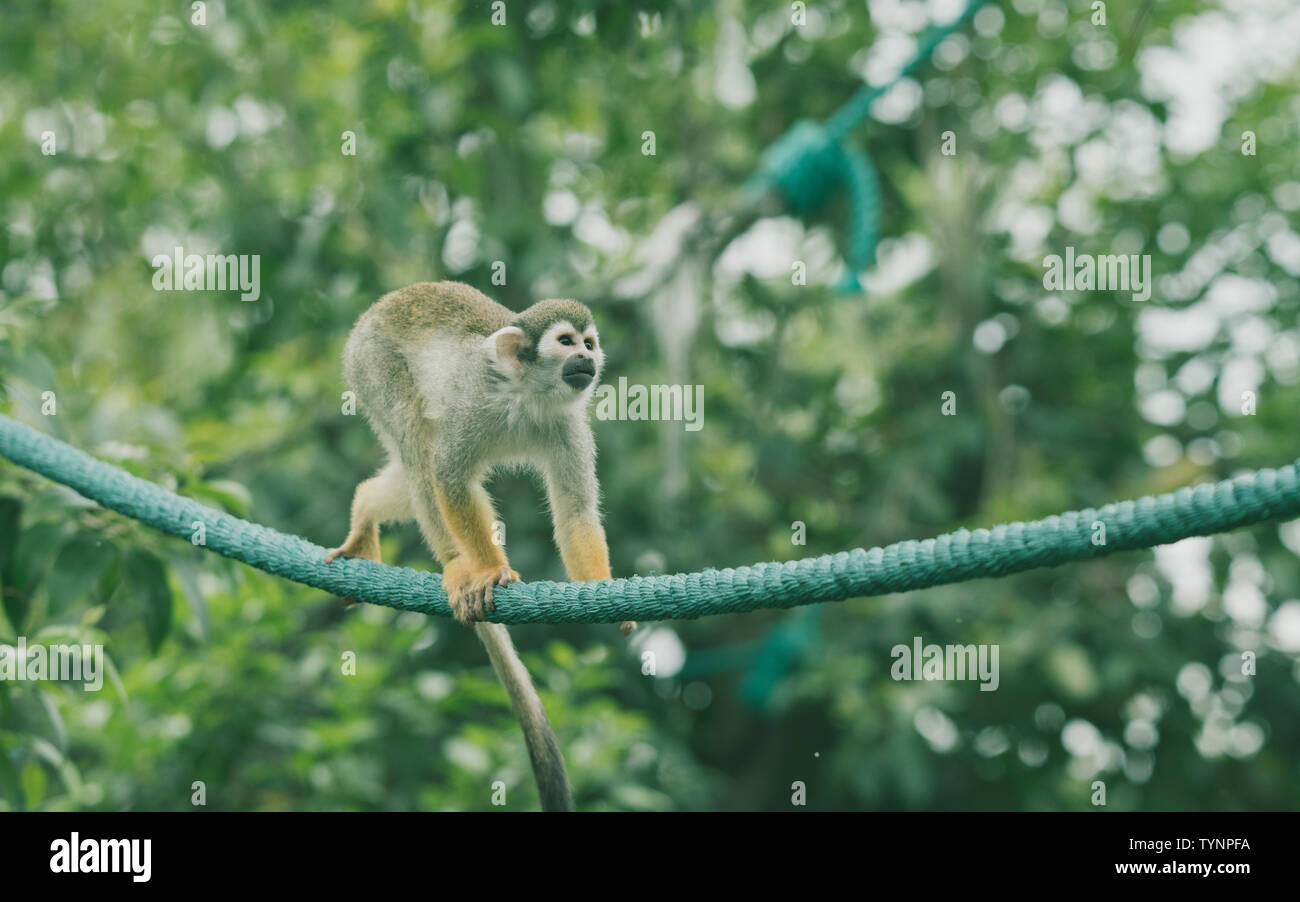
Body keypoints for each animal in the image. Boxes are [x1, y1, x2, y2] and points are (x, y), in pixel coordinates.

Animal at [325, 280, 634, 813]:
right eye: (566, 342)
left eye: (590, 343)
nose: (587, 360)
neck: (531, 394)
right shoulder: (475, 403)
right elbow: (448, 476)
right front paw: (488, 570)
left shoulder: (569, 425)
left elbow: (576, 511)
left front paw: (602, 594)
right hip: (368, 361)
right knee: (418, 445)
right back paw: (456, 562)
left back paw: (365, 507)